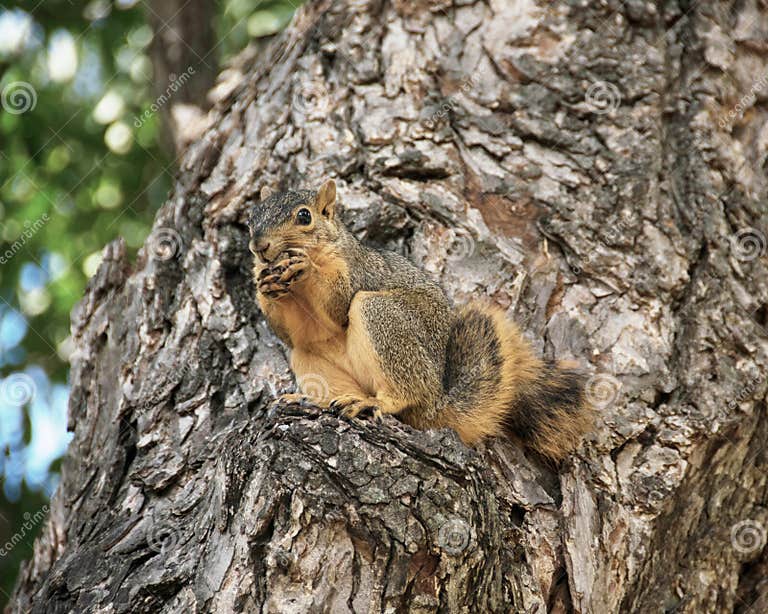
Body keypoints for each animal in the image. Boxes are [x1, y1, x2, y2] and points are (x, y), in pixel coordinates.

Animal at [248, 179, 593, 461]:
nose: (260, 246)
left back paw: (374, 403)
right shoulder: (300, 326)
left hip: (382, 318)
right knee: (312, 359)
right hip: (311, 358)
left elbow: (337, 305)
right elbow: (296, 332)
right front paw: (266, 287)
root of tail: (437, 400)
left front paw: (306, 266)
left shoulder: (358, 270)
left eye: (304, 216)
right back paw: (313, 400)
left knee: (404, 393)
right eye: (252, 218)